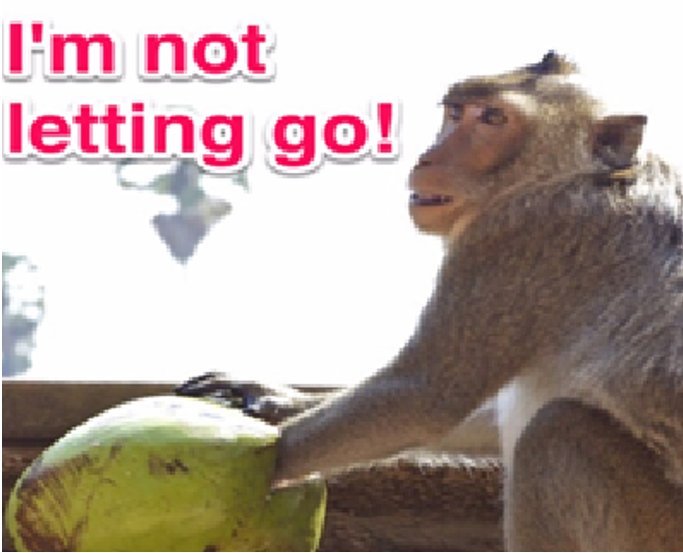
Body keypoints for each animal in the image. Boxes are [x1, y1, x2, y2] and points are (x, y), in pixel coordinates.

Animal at [177, 52, 683, 550]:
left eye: (493, 118)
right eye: (455, 112)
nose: (429, 156)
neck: (581, 173)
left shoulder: (516, 234)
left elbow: (425, 396)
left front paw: (243, 472)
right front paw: (273, 398)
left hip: (652, 529)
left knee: (557, 431)